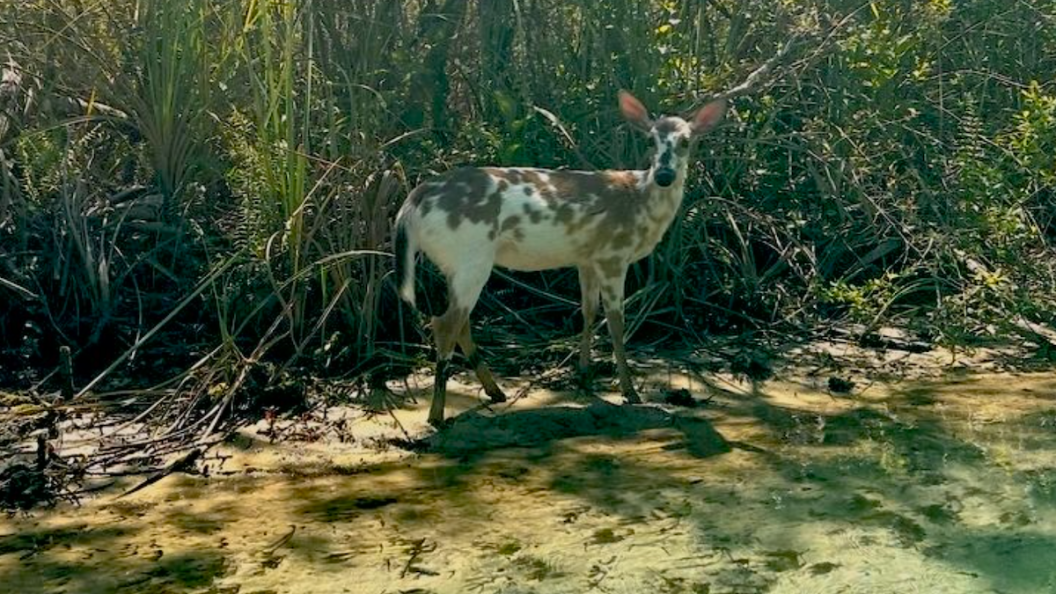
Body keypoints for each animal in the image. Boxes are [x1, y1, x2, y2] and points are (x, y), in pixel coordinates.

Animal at [394, 90, 726, 426]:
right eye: (650, 140)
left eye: (686, 140)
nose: (664, 175)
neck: (640, 203)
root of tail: (412, 202)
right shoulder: (614, 255)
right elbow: (617, 322)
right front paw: (629, 391)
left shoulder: (587, 259)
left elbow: (588, 312)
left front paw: (585, 377)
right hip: (470, 256)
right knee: (444, 323)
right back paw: (437, 415)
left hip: (455, 263)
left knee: (459, 323)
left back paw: (494, 391)